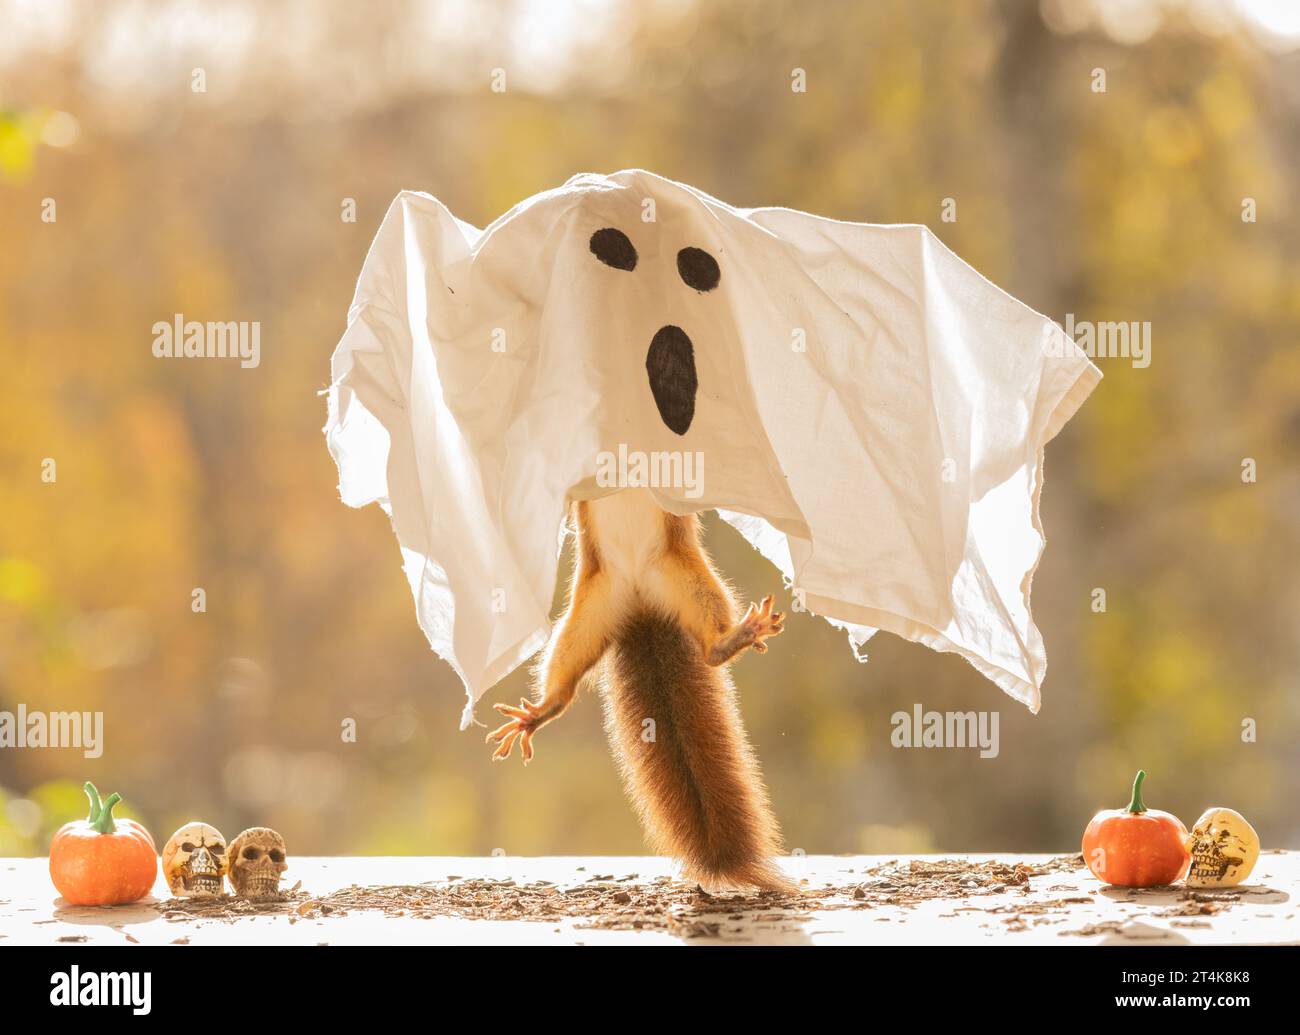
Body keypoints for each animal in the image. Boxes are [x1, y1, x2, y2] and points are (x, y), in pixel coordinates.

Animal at [486, 487, 793, 892]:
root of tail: (642, 608)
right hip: (583, 619)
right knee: (563, 679)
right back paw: (535, 715)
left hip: (689, 580)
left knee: (711, 646)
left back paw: (734, 638)